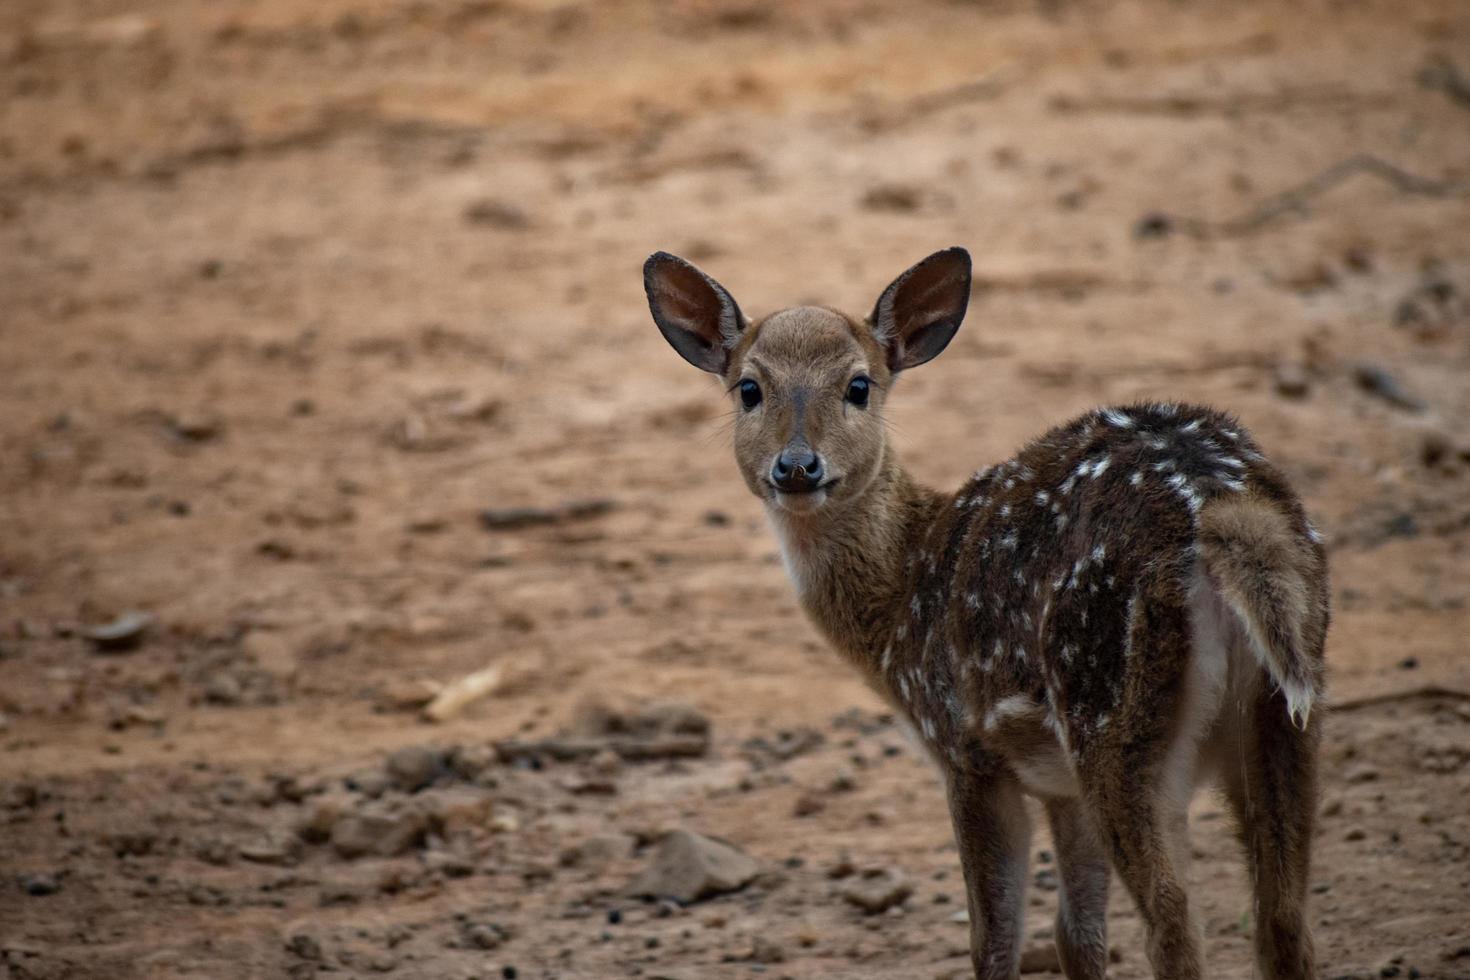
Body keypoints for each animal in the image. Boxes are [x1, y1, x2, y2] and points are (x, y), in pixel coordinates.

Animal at [642, 247, 1328, 980]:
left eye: (859, 385)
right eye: (749, 388)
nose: (797, 466)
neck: (900, 602)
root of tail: (1220, 508)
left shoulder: (964, 747)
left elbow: (994, 939)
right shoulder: (1057, 781)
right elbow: (1077, 934)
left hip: (1111, 710)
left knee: (1176, 925)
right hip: (1286, 710)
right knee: (1283, 919)